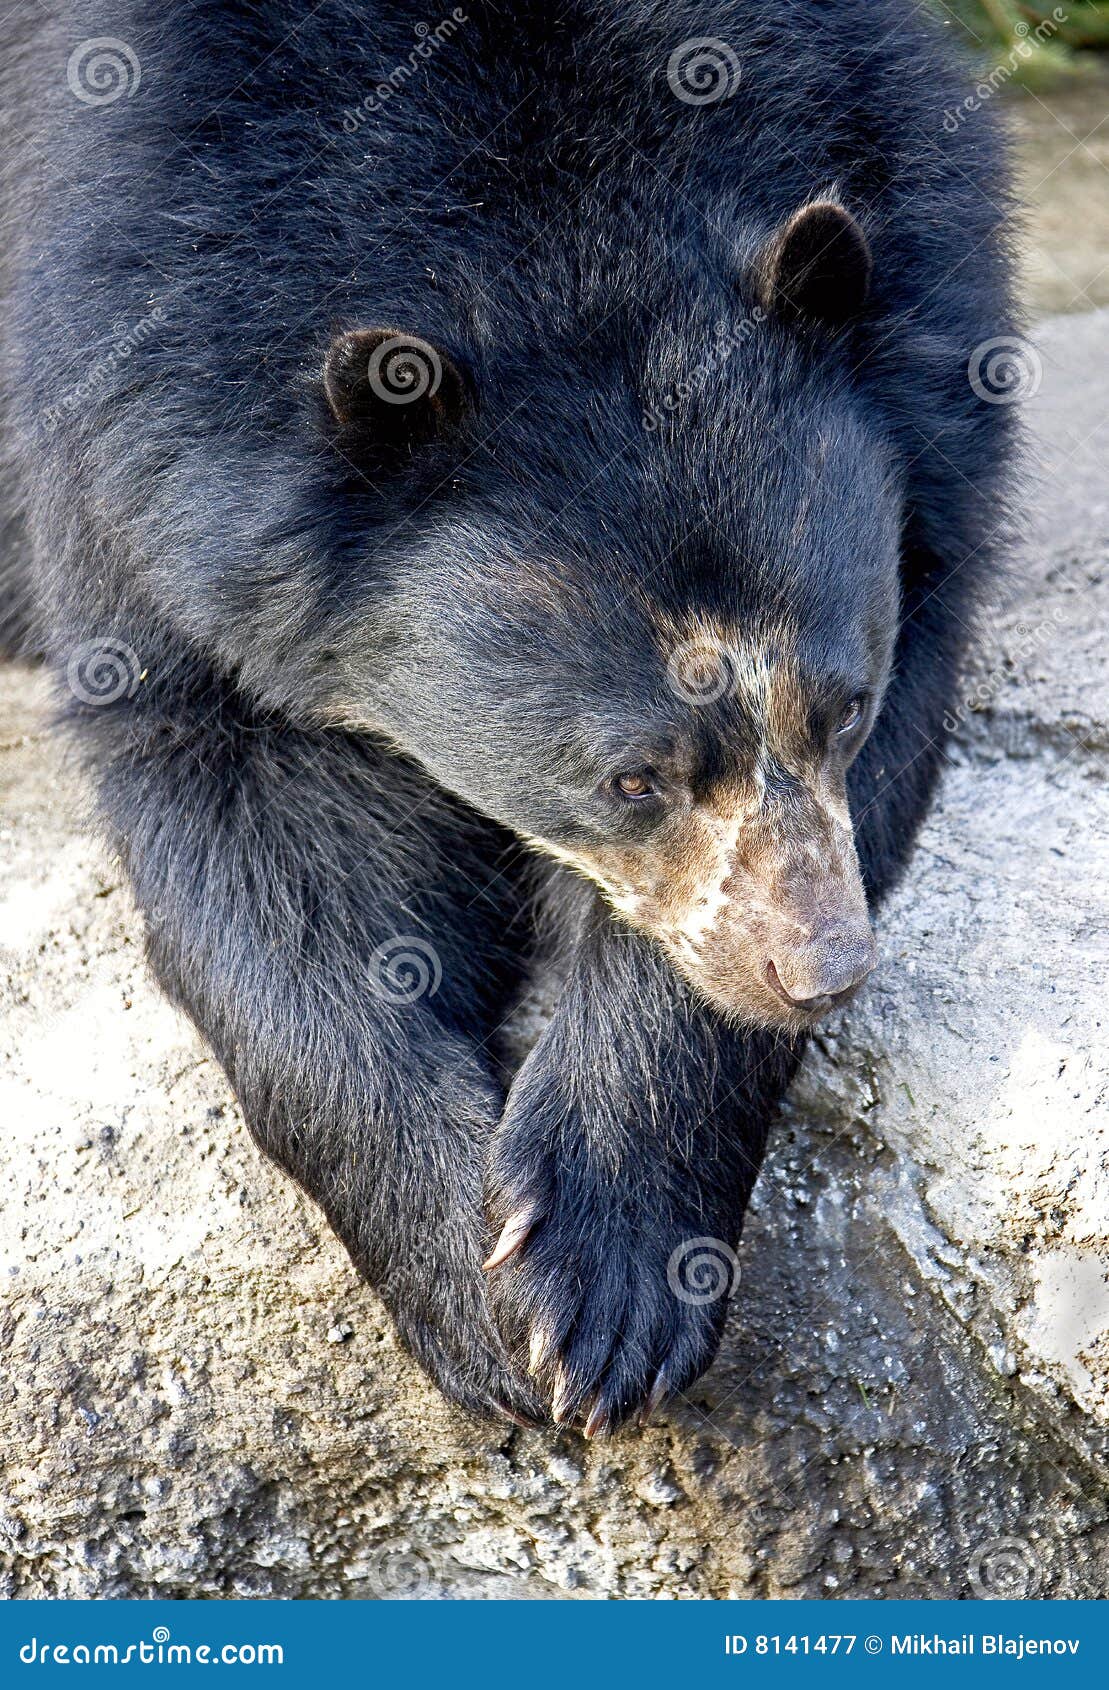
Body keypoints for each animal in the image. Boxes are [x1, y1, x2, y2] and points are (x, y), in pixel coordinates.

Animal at [0, 0, 1015, 1434]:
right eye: (629, 778)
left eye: (843, 705)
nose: (818, 970)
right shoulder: (126, 422)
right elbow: (245, 835)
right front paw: (460, 1277)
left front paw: (602, 1281)